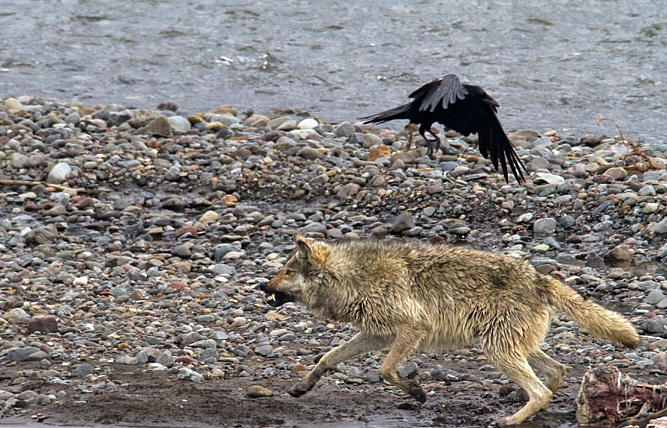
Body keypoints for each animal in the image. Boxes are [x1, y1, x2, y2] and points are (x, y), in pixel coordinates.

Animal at [260, 234, 639, 427]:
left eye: (286, 271)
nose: (263, 287)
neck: (351, 277)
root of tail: (537, 277)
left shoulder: (411, 328)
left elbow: (386, 370)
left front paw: (416, 392)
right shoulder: (377, 334)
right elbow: (328, 357)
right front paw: (302, 387)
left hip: (498, 351)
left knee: (541, 389)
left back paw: (510, 420)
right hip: (514, 347)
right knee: (557, 371)